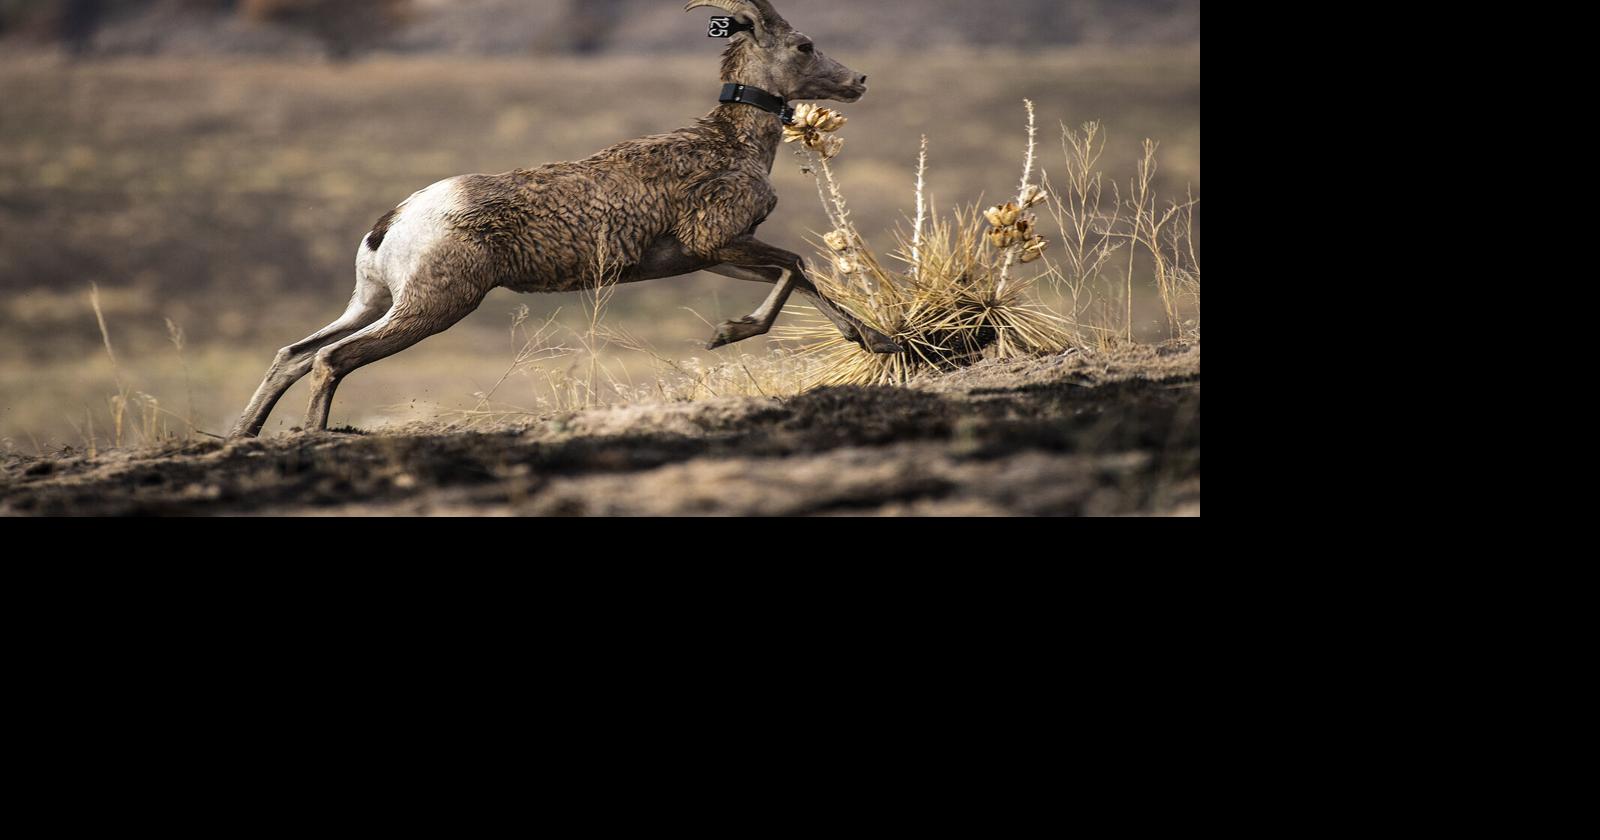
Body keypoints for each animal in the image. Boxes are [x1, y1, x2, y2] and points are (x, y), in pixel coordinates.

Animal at [228, 0, 899, 439]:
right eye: (804, 45)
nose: (860, 80)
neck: (732, 146)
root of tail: (396, 221)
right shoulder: (718, 241)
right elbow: (797, 265)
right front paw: (727, 334)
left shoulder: (718, 256)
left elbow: (802, 276)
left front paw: (879, 342)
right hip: (431, 306)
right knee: (331, 360)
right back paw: (311, 436)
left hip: (374, 301)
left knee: (295, 353)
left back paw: (245, 434)